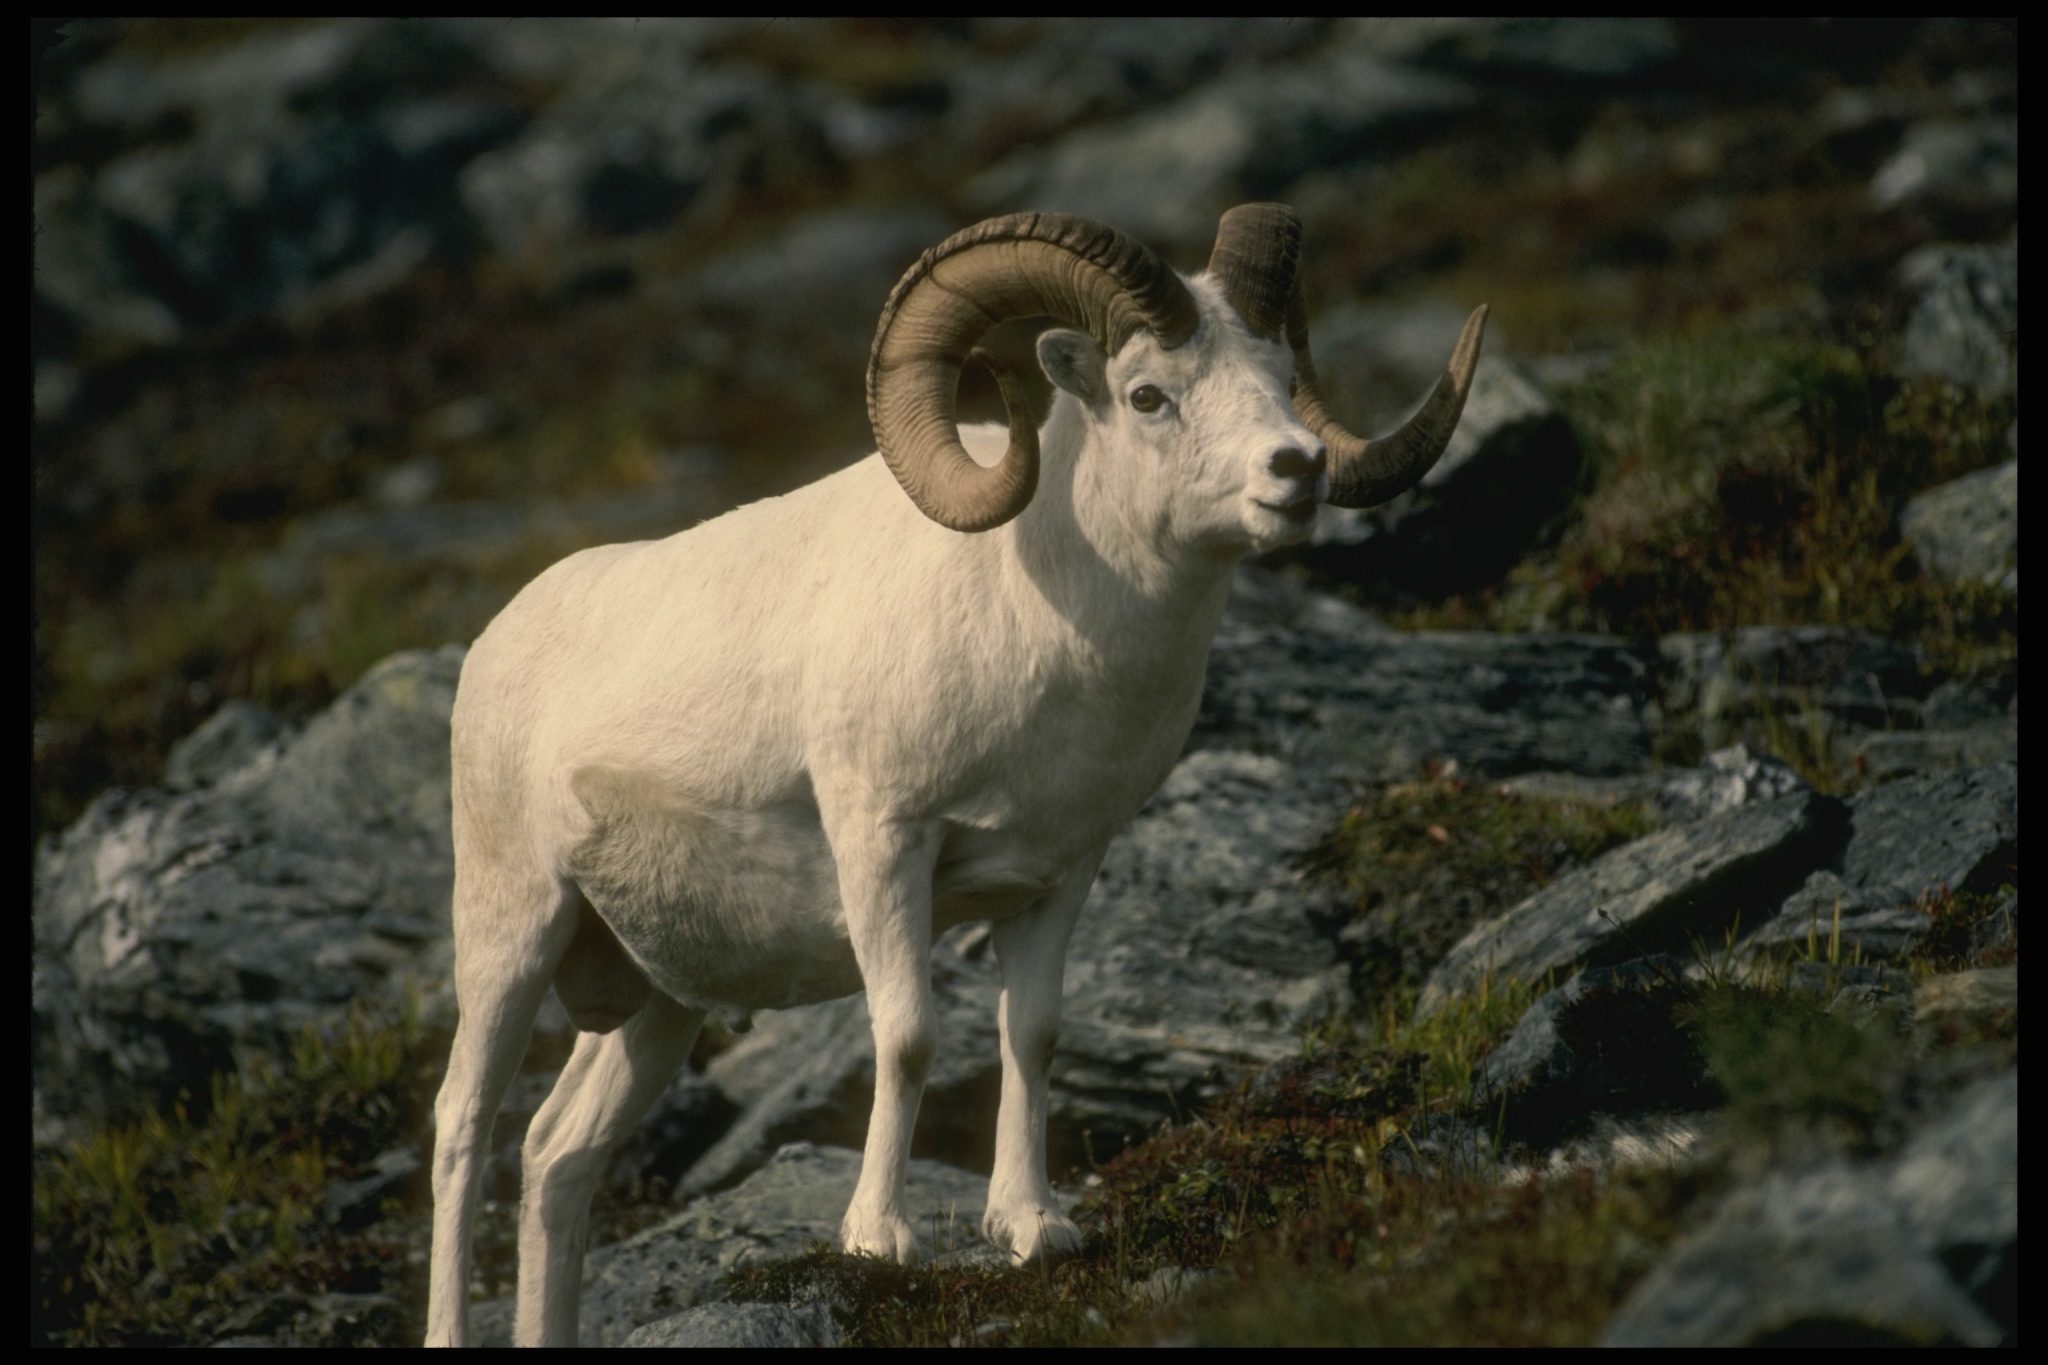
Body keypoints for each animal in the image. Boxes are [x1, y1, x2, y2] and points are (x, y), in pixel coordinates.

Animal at [424, 202, 1486, 1347]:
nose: (1296, 471)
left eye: (1281, 375)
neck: (1046, 623)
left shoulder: (1059, 874)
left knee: (555, 1155)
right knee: (463, 1128)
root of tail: (495, 646)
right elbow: (908, 1037)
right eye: (1148, 394)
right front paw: (879, 1239)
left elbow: (1031, 1033)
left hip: (657, 1006)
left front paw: (1031, 1227)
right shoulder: (886, 845)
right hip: (512, 932)